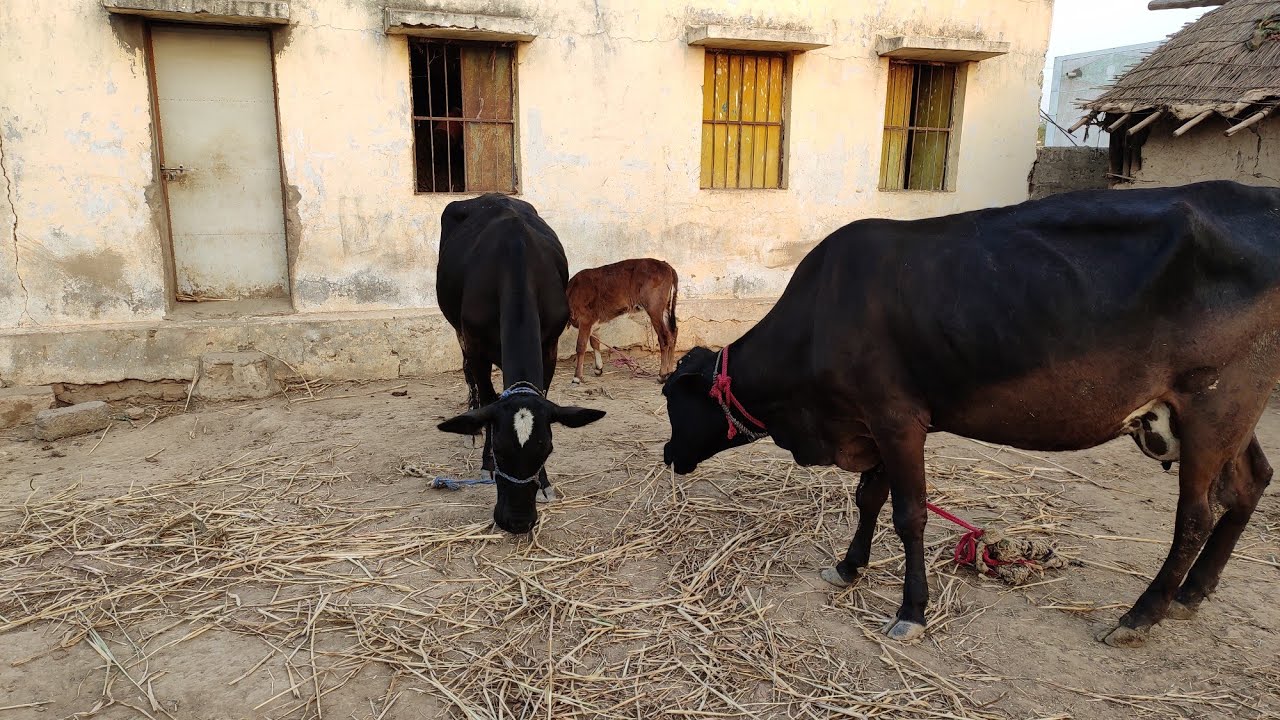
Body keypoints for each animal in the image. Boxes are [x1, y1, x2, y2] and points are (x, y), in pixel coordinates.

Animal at [434, 194, 606, 534]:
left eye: (547, 449)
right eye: (500, 450)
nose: (517, 521)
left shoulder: (550, 345)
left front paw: (545, 483)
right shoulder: (476, 345)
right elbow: (487, 398)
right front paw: (485, 461)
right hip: (459, 330)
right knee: (468, 375)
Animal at [661, 180, 1280, 648]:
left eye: (671, 400)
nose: (668, 454)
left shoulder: (897, 419)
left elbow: (908, 514)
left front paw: (911, 611)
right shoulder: (874, 423)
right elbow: (870, 497)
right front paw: (848, 566)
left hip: (1214, 408)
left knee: (1195, 516)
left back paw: (1141, 614)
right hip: (1233, 417)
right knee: (1250, 484)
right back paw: (1192, 594)